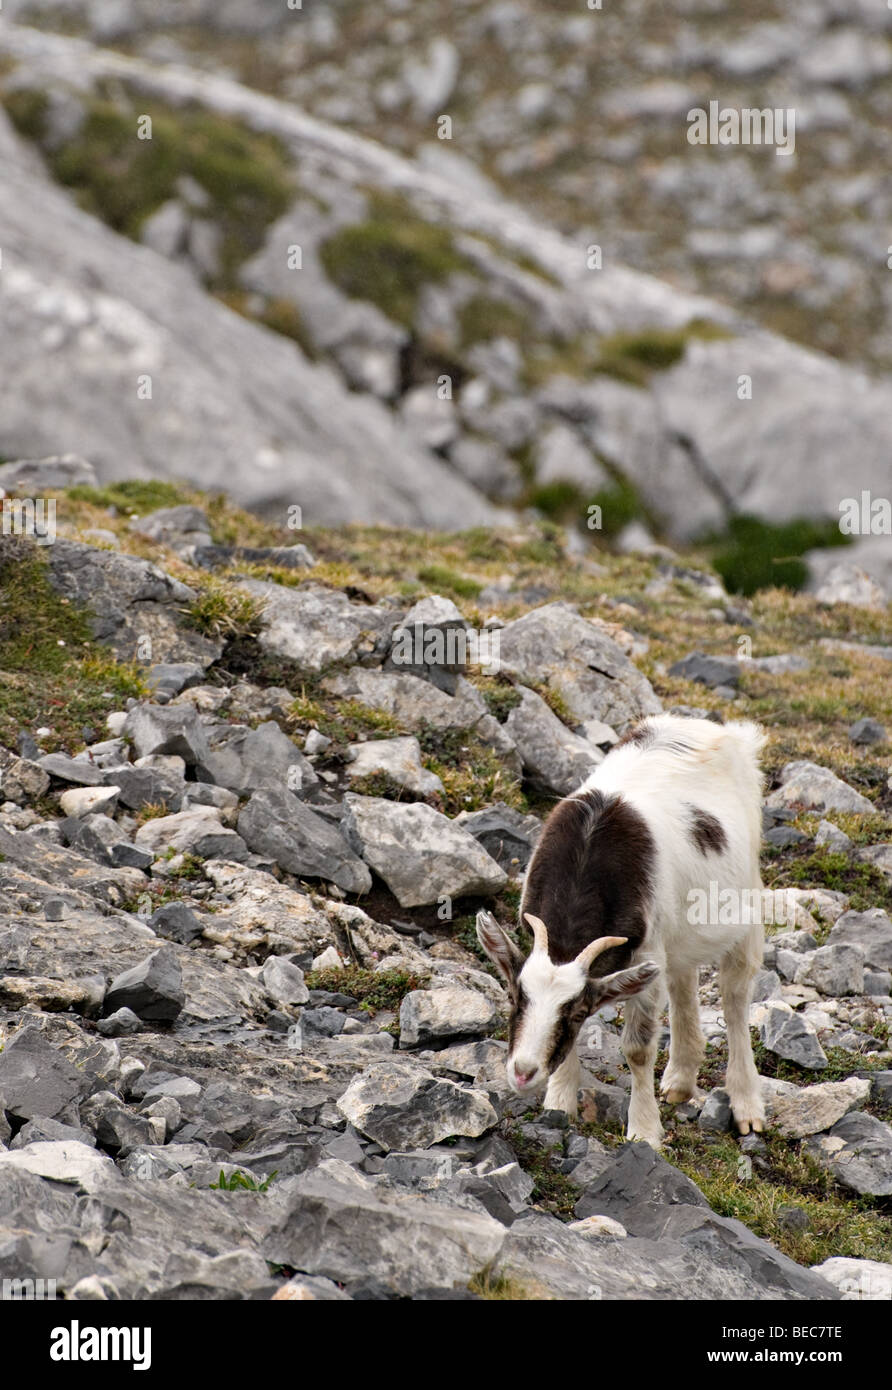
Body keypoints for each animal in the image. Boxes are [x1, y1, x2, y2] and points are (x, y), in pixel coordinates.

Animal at [476, 713, 766, 1148]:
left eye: (577, 1011)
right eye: (514, 996)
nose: (523, 1072)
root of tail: (713, 728)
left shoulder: (645, 954)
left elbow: (638, 1049)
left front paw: (644, 1131)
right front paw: (558, 1103)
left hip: (746, 900)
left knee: (735, 998)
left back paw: (747, 1104)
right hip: (677, 933)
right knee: (683, 981)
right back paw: (680, 1080)